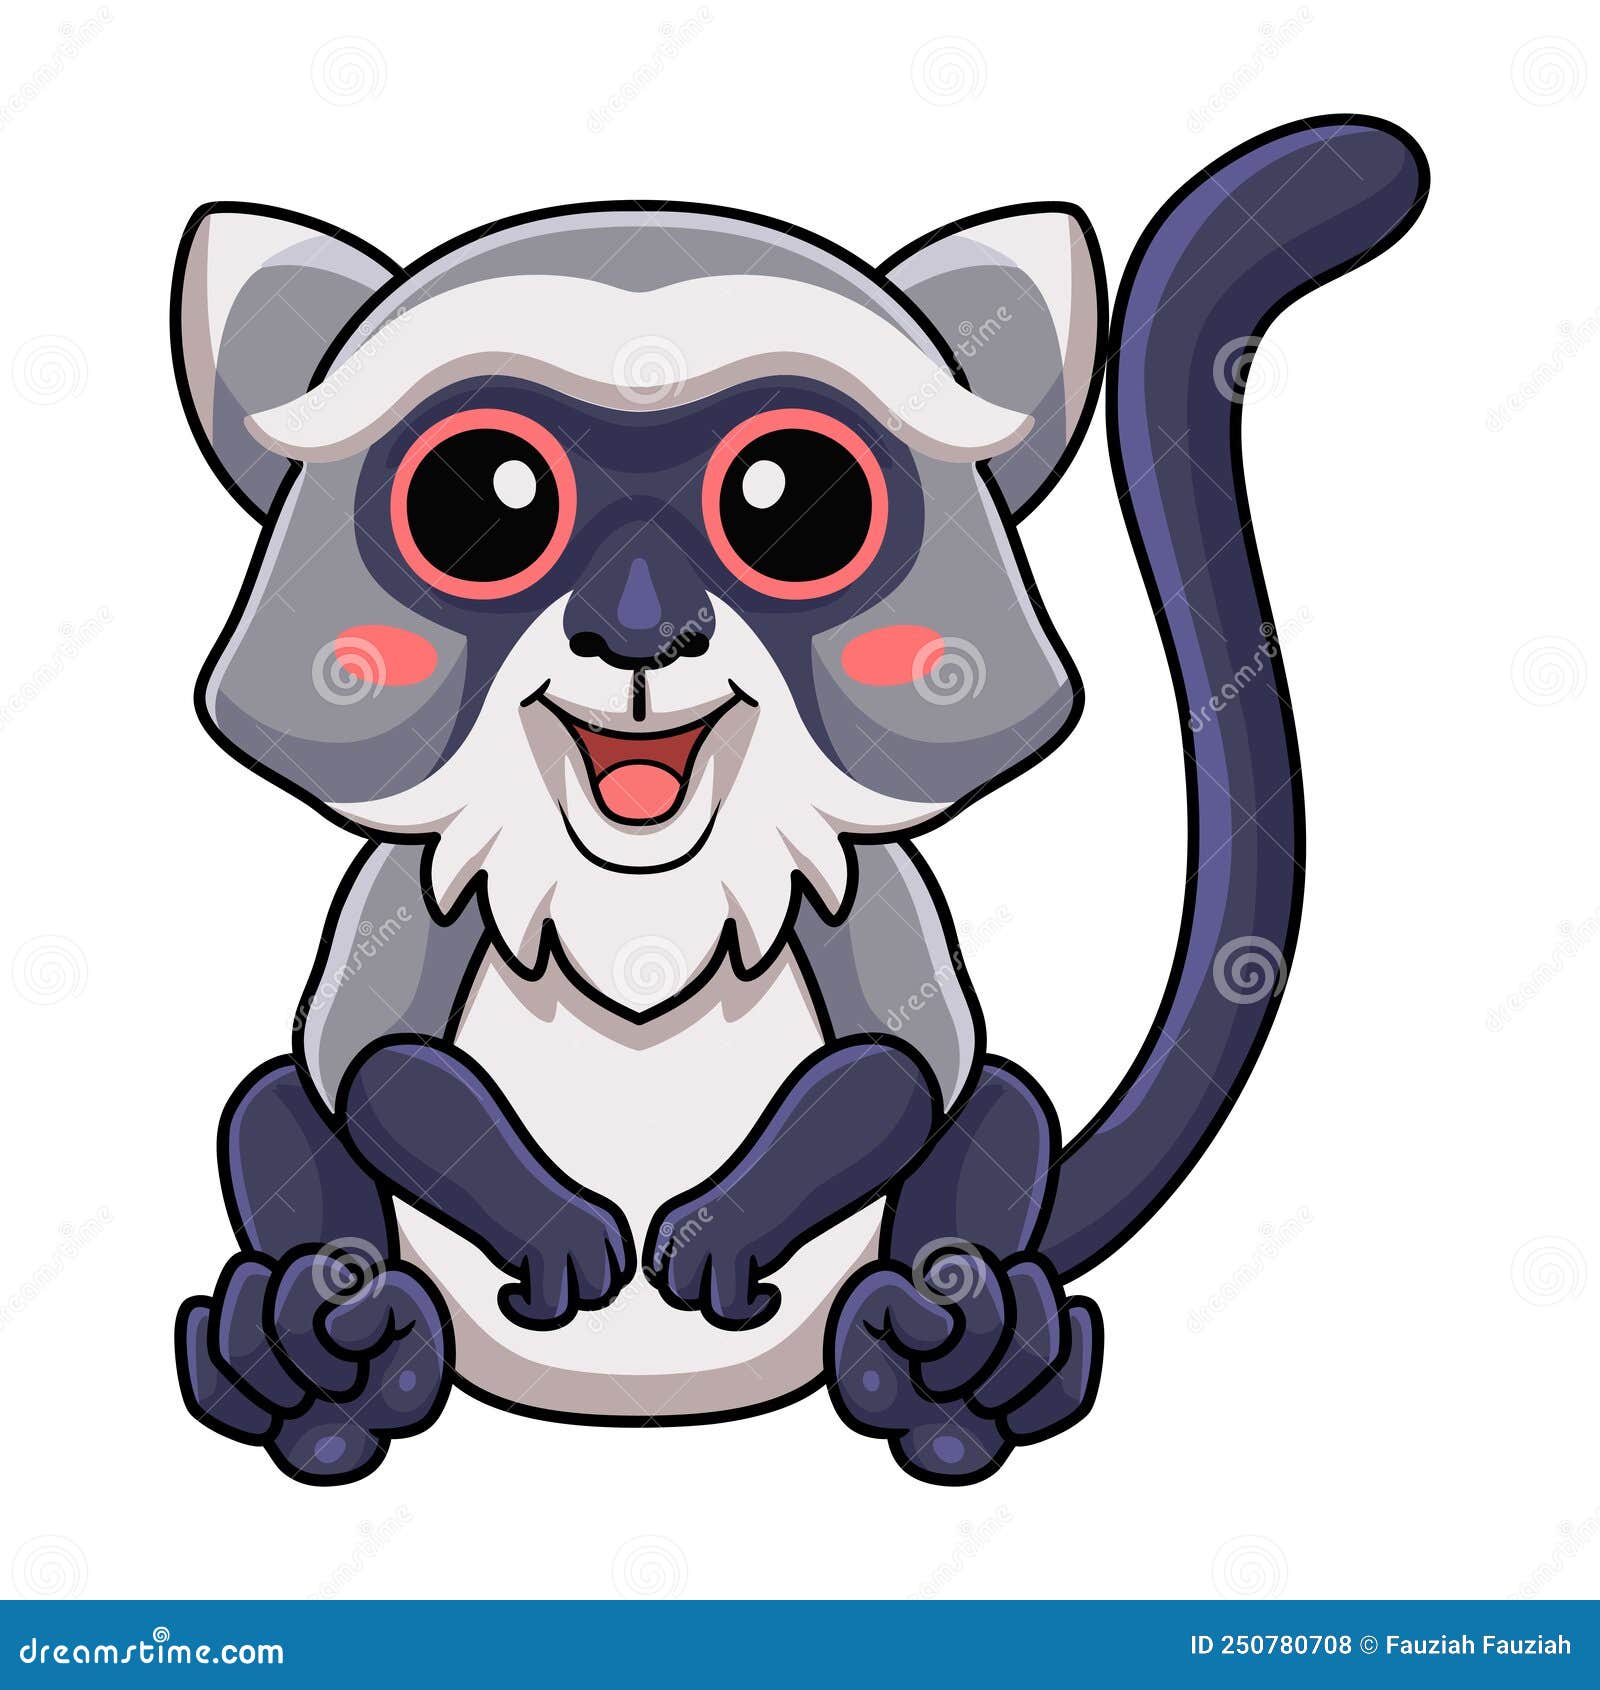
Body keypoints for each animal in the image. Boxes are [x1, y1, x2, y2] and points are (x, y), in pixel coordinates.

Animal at [171, 117, 1427, 1486]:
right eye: (482, 496)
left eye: (788, 495)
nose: (641, 629)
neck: (639, 893)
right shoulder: (407, 885)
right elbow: (368, 1059)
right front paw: (560, 1228)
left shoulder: (869, 885)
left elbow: (907, 1061)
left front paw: (716, 1232)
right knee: (272, 1106)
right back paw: (317, 1347)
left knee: (999, 1110)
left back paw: (960, 1349)